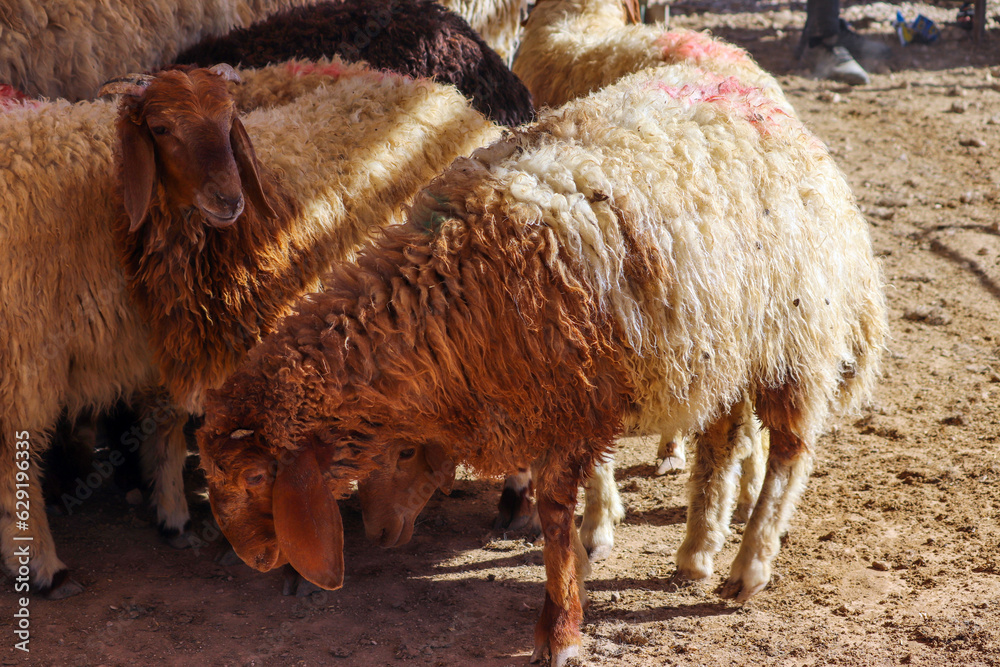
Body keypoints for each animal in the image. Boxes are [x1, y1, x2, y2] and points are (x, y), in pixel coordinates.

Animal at [198, 64, 887, 665]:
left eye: (257, 479)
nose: (256, 558)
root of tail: (754, 96)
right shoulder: (553, 398)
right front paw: (584, 560)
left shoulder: (568, 401)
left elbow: (556, 519)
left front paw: (560, 628)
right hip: (721, 347)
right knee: (721, 442)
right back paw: (696, 551)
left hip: (793, 337)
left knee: (789, 452)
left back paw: (748, 567)